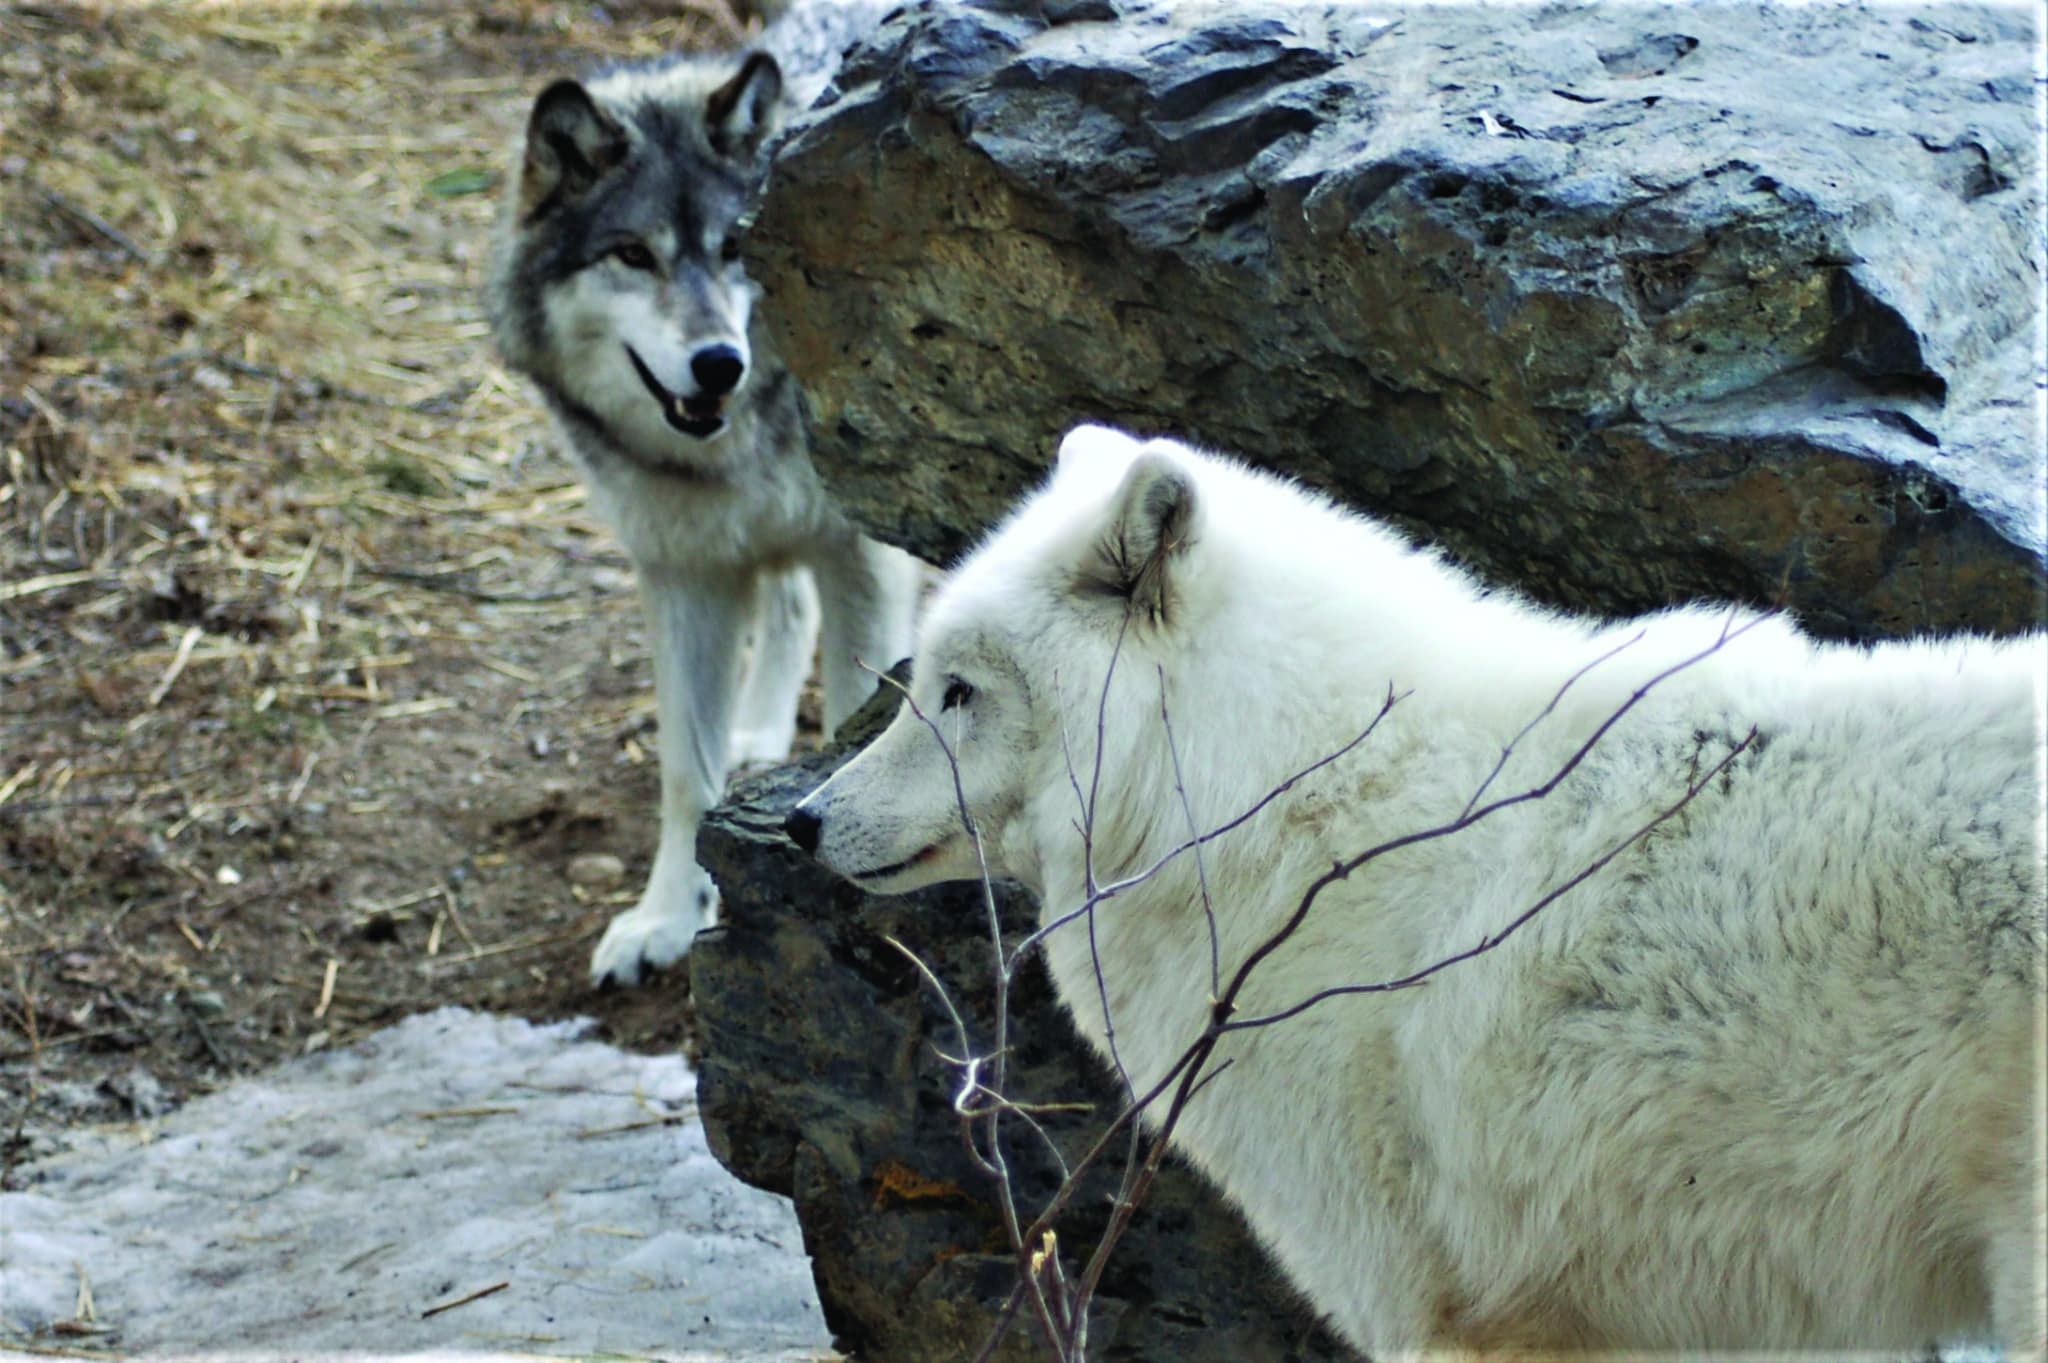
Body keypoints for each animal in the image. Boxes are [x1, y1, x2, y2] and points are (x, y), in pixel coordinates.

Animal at [489, 51, 920, 986]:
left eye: (734, 247)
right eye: (631, 254)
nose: (719, 363)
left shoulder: (863, 557)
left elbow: (856, 714)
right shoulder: (685, 574)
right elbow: (686, 774)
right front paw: (668, 918)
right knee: (788, 606)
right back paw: (757, 730)